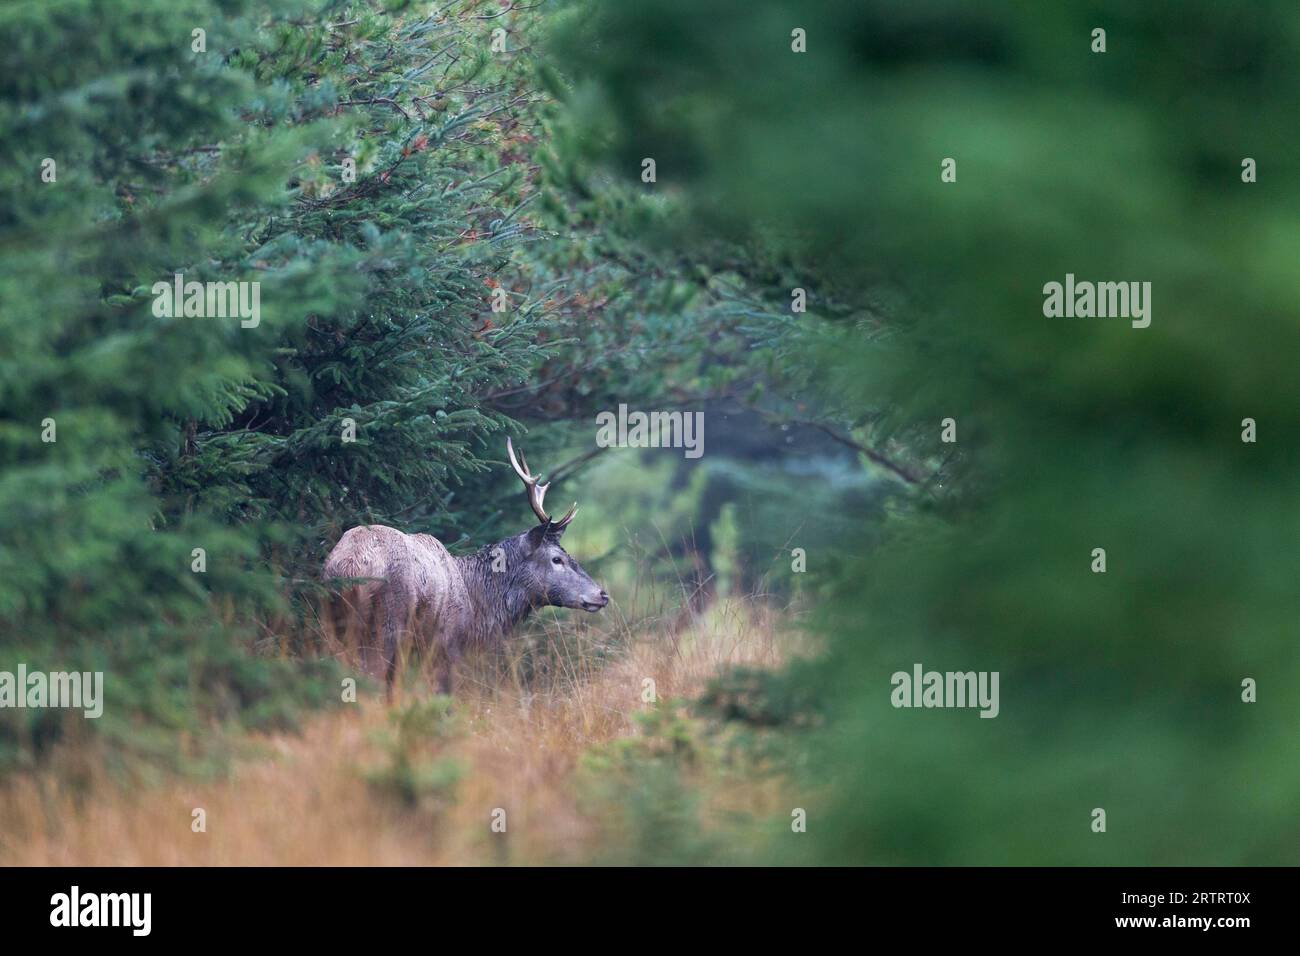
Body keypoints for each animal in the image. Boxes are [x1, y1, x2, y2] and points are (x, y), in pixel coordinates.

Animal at [323, 438, 609, 694]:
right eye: (557, 558)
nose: (602, 594)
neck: (475, 606)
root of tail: (348, 567)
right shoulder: (444, 646)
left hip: (334, 627)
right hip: (386, 626)